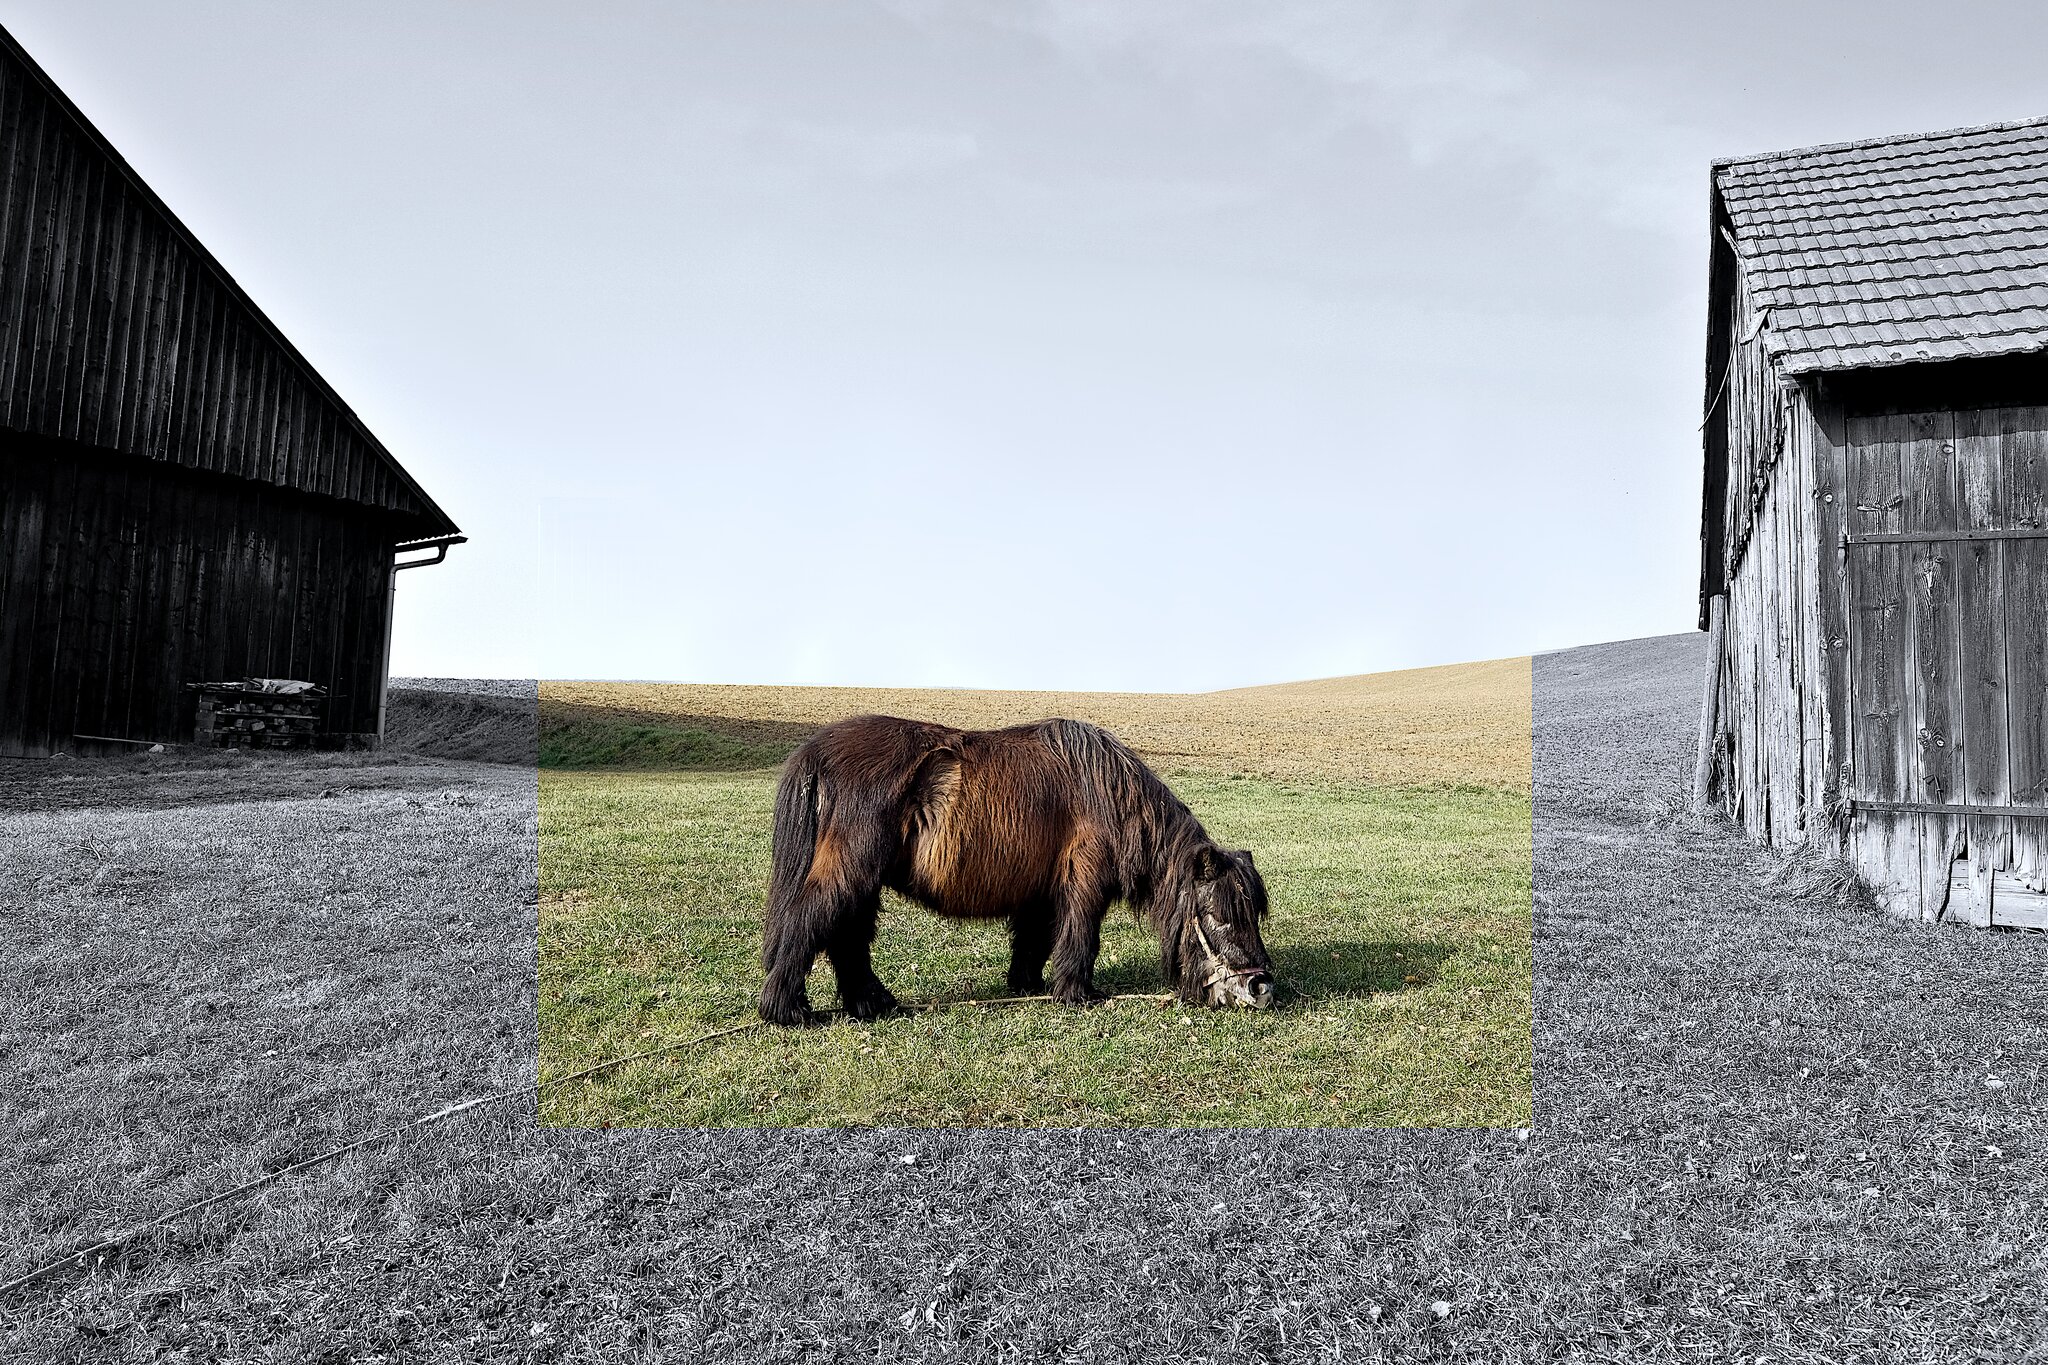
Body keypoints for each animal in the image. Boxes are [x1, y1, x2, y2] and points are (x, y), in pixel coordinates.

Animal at [757, 713, 1275, 1025]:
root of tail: (818, 751)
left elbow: (1034, 941)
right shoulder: (1085, 882)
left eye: (1253, 914)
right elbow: (1080, 935)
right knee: (808, 921)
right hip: (850, 870)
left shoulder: (1042, 892)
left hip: (864, 881)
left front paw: (1030, 987)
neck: (1111, 794)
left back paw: (871, 1002)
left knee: (848, 938)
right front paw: (1078, 993)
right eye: (1220, 916)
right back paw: (786, 1009)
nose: (1262, 988)